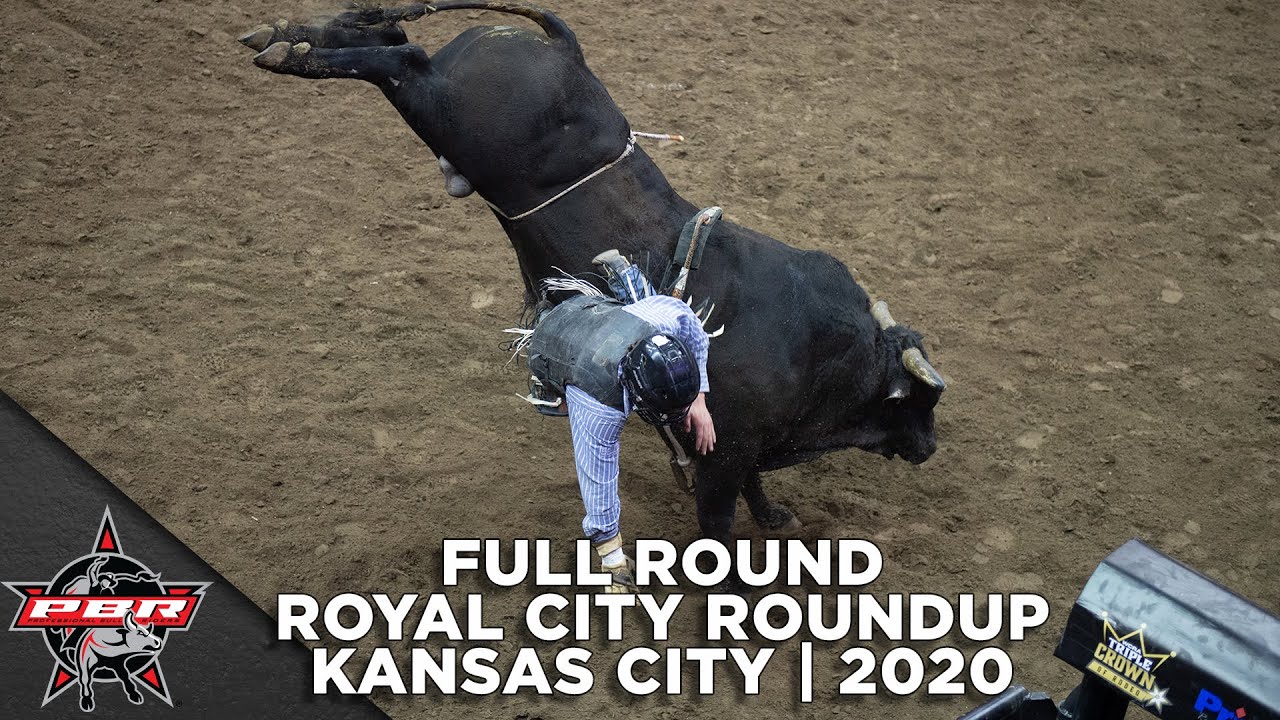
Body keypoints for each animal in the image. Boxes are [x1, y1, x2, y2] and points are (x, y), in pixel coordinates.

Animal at [239, 2, 946, 552]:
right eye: (919, 403)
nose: (931, 447)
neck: (824, 350)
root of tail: (566, 52)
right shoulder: (723, 452)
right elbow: (719, 519)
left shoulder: (739, 443)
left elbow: (755, 484)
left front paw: (775, 516)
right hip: (448, 111)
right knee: (402, 56)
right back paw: (289, 50)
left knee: (388, 37)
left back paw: (286, 32)